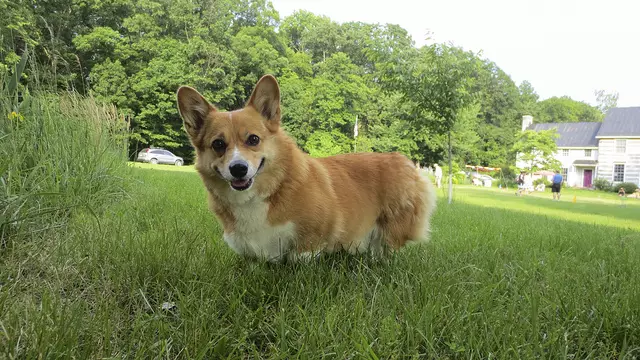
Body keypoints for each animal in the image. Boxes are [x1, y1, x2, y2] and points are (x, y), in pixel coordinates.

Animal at [176, 74, 436, 262]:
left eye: (253, 139)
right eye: (218, 144)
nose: (238, 169)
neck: (265, 192)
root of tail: (404, 160)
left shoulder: (312, 237)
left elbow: (301, 256)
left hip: (393, 224)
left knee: (385, 248)